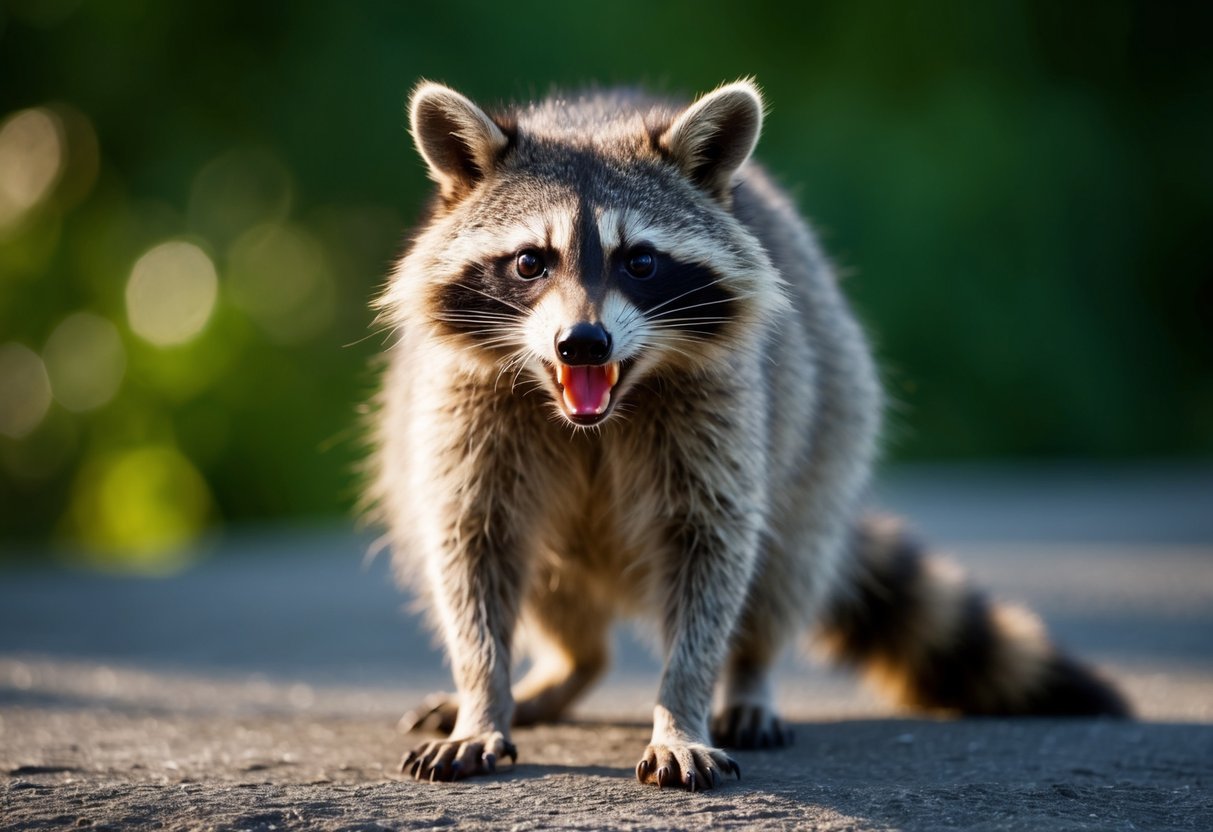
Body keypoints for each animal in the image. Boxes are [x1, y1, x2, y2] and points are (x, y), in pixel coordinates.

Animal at [370, 79, 1128, 790]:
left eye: (639, 262)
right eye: (531, 261)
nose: (582, 343)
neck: (596, 414)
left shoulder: (723, 407)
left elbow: (712, 551)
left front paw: (682, 707)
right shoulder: (467, 408)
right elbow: (473, 547)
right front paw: (482, 695)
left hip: (830, 423)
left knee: (783, 565)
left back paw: (748, 677)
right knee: (536, 581)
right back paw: (563, 666)